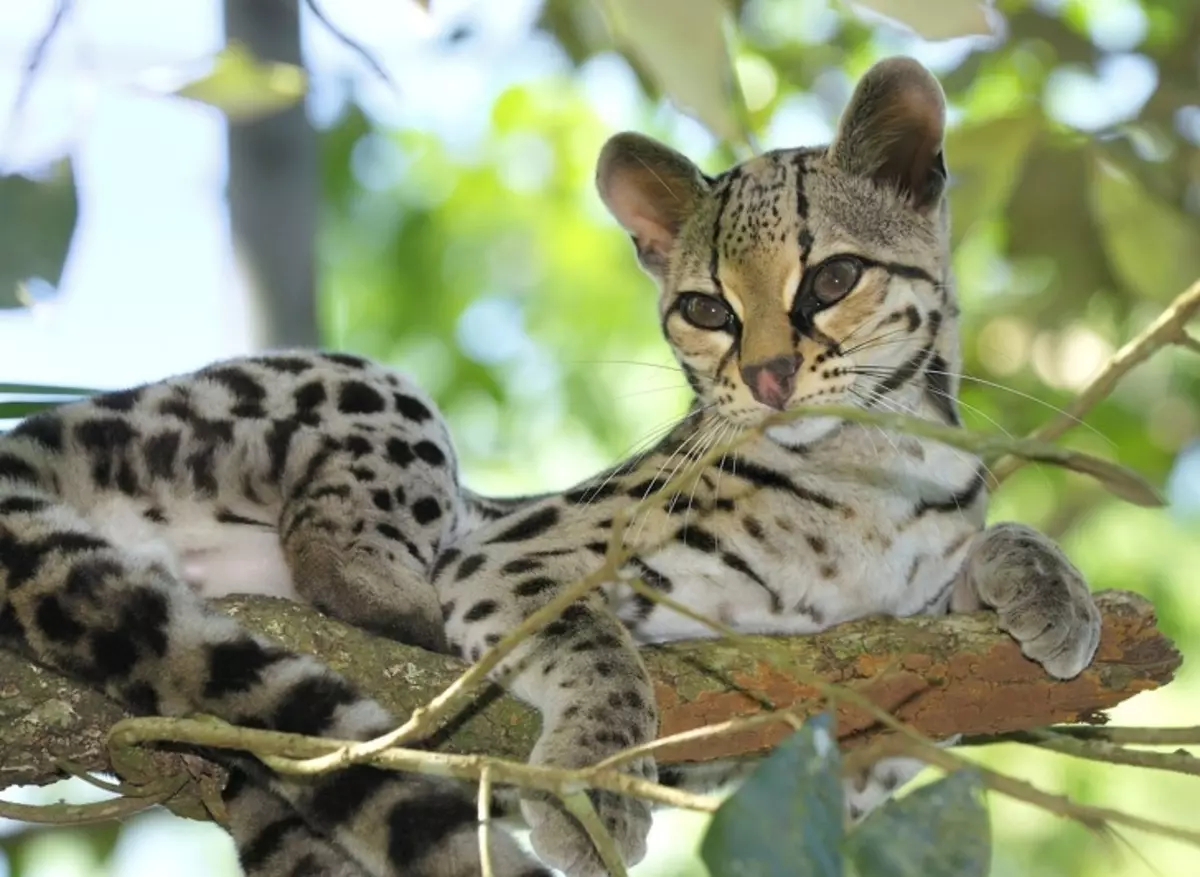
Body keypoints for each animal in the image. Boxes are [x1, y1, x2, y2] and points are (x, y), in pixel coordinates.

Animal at [0, 58, 1099, 873]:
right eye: (706, 309)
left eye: (831, 279)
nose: (769, 377)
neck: (871, 467)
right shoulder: (534, 555)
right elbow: (598, 645)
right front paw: (591, 787)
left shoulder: (827, 720)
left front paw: (1047, 583)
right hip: (374, 395)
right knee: (345, 542)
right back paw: (406, 609)